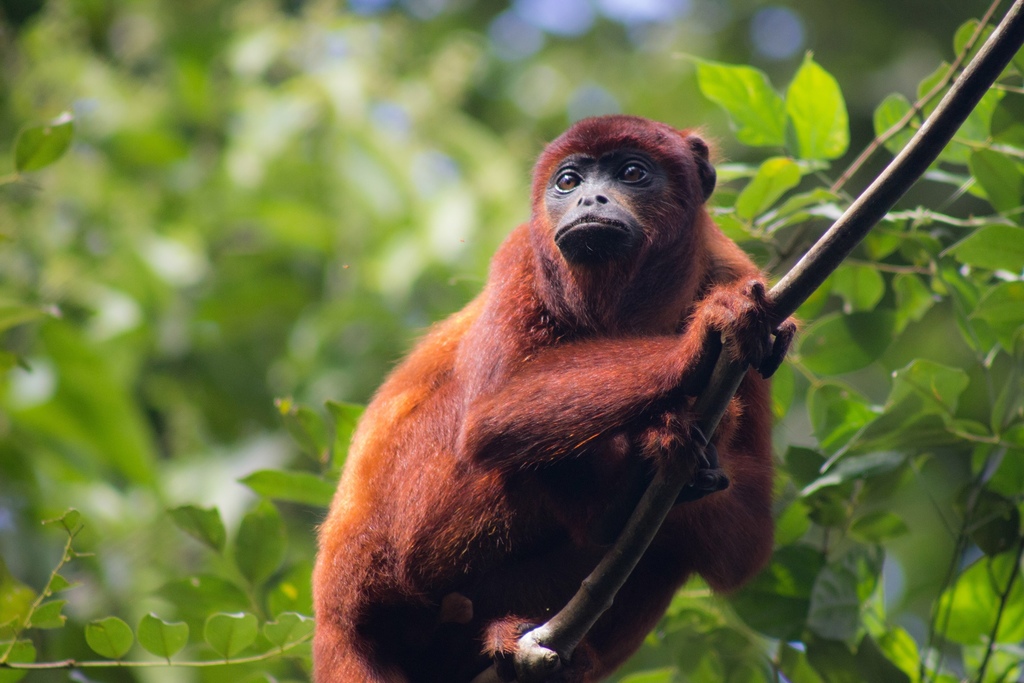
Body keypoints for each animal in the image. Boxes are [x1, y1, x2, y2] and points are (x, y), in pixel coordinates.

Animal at [313, 115, 795, 682]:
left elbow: (747, 537)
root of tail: (333, 612)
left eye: (632, 173)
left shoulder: (739, 274)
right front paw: (701, 346)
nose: (589, 199)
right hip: (398, 542)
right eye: (567, 181)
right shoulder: (521, 252)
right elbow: (490, 413)